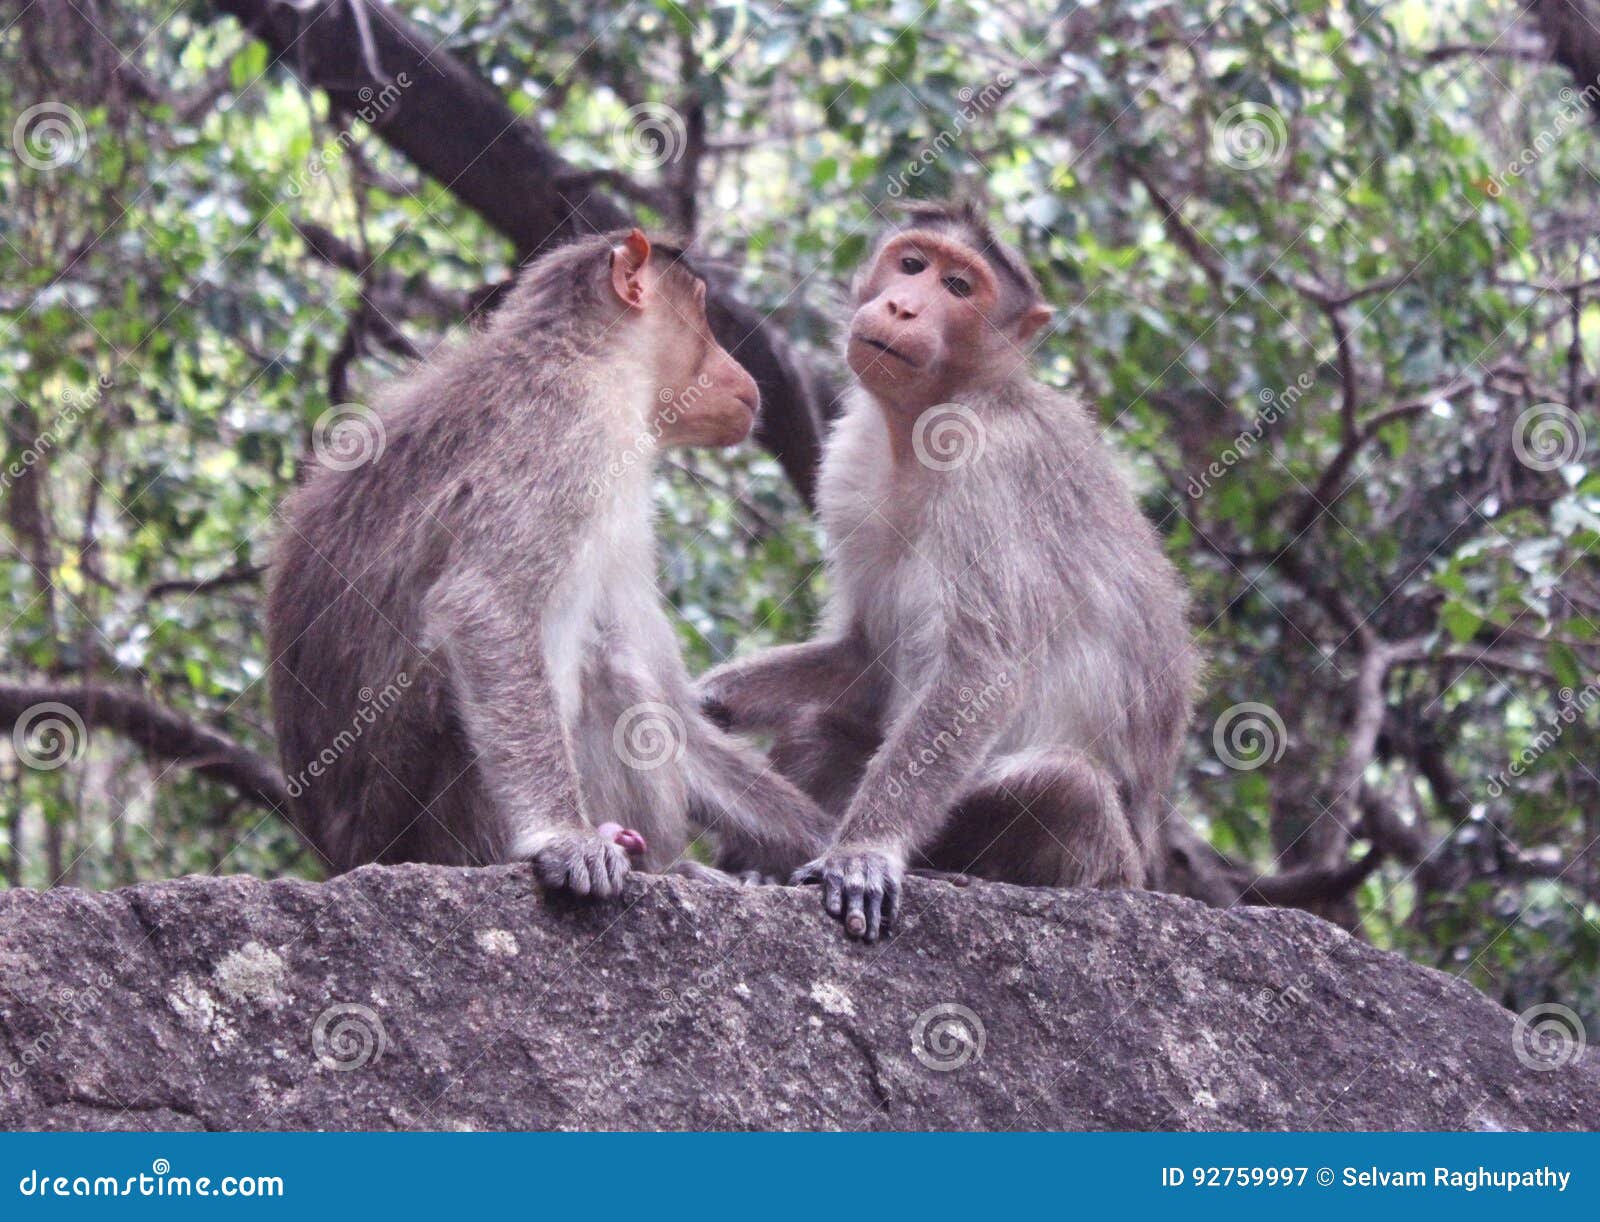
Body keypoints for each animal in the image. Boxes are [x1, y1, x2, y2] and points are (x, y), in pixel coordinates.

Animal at [266, 229, 833, 898]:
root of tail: (344, 857)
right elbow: (484, 604)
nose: (742, 372)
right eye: (701, 312)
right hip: (435, 821)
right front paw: (563, 838)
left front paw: (834, 842)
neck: (586, 356)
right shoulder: (575, 429)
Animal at [699, 201, 1198, 940]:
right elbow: (865, 653)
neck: (924, 426)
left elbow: (981, 672)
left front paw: (863, 851)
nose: (902, 305)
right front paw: (703, 702)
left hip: (1105, 863)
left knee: (1063, 784)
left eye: (959, 288)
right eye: (912, 265)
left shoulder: (992, 464)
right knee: (822, 722)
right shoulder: (851, 461)